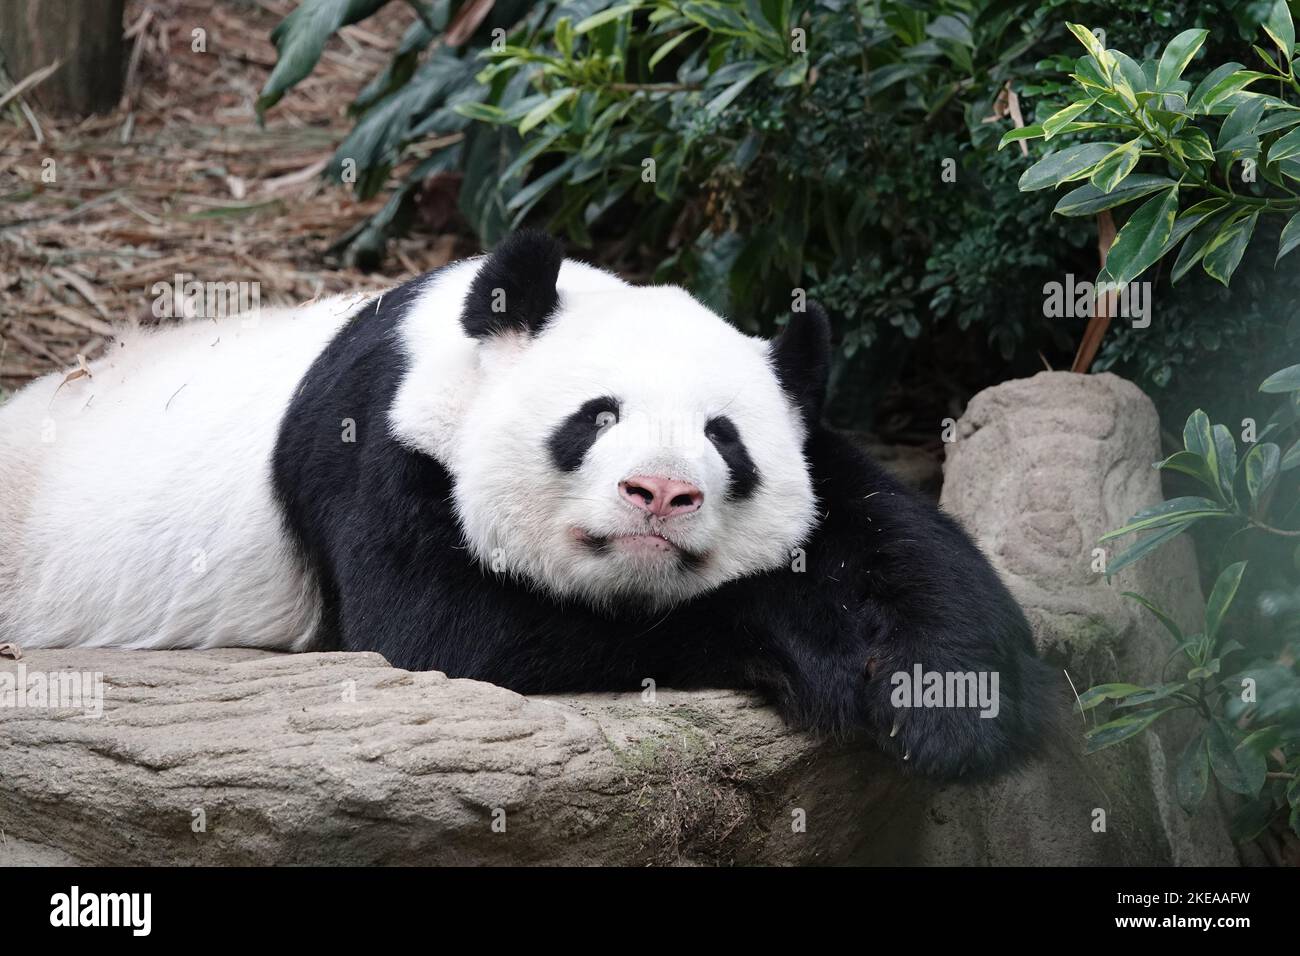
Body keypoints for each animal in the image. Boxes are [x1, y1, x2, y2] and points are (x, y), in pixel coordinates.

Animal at [0, 231, 1055, 778]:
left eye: (724, 438)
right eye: (597, 417)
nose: (660, 493)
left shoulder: (817, 442)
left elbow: (903, 543)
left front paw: (946, 704)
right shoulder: (376, 444)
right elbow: (455, 632)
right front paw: (819, 658)